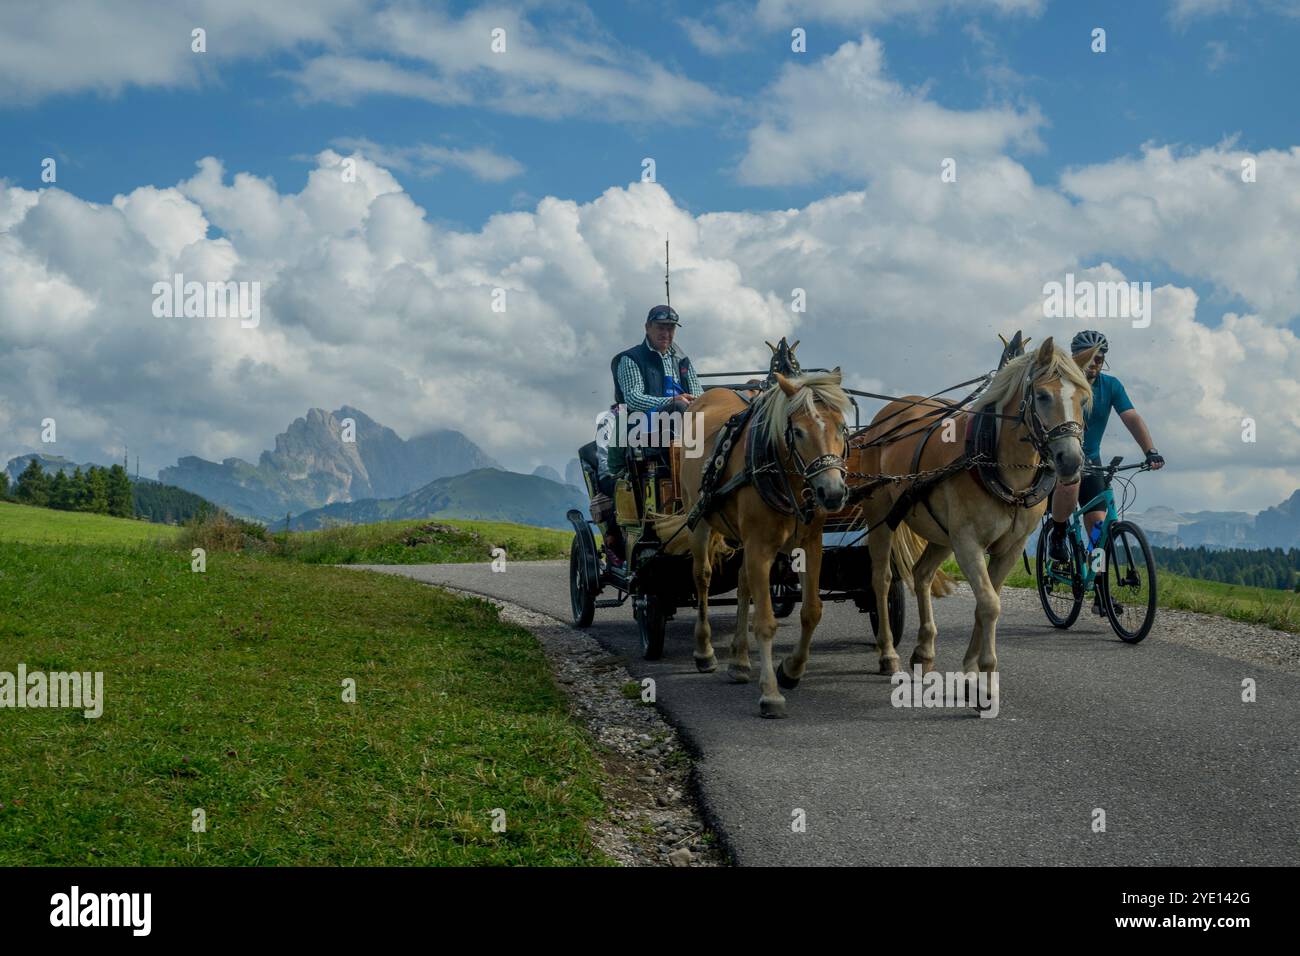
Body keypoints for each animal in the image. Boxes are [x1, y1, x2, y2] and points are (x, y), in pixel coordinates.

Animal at [854, 337, 1095, 698]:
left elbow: (986, 603)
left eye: (1083, 399)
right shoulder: (968, 542)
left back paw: (924, 651)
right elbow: (990, 604)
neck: (1000, 467)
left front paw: (969, 670)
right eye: (1042, 396)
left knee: (922, 574)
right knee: (881, 580)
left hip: (941, 534)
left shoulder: (1009, 549)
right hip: (882, 518)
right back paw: (887, 654)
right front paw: (987, 675)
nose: (1071, 460)